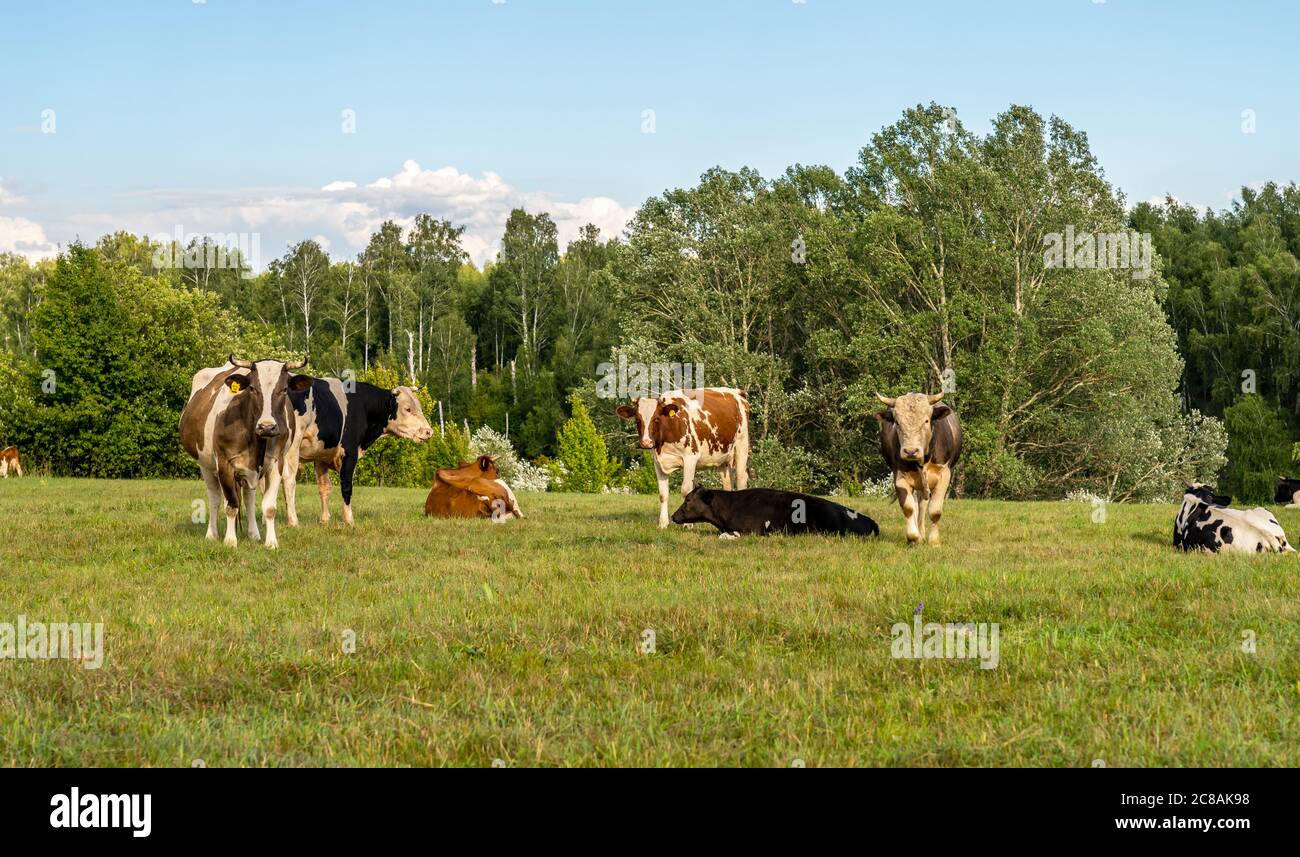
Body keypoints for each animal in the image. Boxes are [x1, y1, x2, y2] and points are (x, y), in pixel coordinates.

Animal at [180, 357, 312, 548]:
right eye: (252, 388)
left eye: (284, 390)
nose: (267, 427)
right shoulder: (224, 464)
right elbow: (231, 505)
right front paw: (230, 541)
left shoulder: (276, 463)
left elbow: (269, 507)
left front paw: (271, 543)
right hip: (205, 465)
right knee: (214, 497)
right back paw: (212, 534)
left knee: (249, 497)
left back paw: (253, 534)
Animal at [284, 378, 434, 526]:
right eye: (407, 409)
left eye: (420, 407)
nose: (429, 431)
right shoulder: (350, 452)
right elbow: (346, 486)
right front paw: (349, 520)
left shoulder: (321, 455)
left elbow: (324, 487)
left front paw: (325, 520)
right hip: (291, 449)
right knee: (289, 480)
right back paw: (293, 521)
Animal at [616, 387, 750, 528]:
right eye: (637, 420)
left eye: (656, 418)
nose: (646, 442)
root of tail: (737, 392)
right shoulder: (658, 462)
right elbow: (663, 494)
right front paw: (663, 523)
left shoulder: (690, 458)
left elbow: (686, 490)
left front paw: (687, 524)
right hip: (722, 457)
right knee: (727, 484)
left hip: (742, 446)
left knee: (741, 479)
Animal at [874, 391, 962, 545]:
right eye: (897, 422)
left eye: (926, 421)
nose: (910, 451)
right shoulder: (899, 476)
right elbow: (908, 508)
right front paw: (913, 538)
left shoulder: (944, 474)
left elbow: (935, 510)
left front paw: (934, 541)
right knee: (916, 504)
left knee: (923, 504)